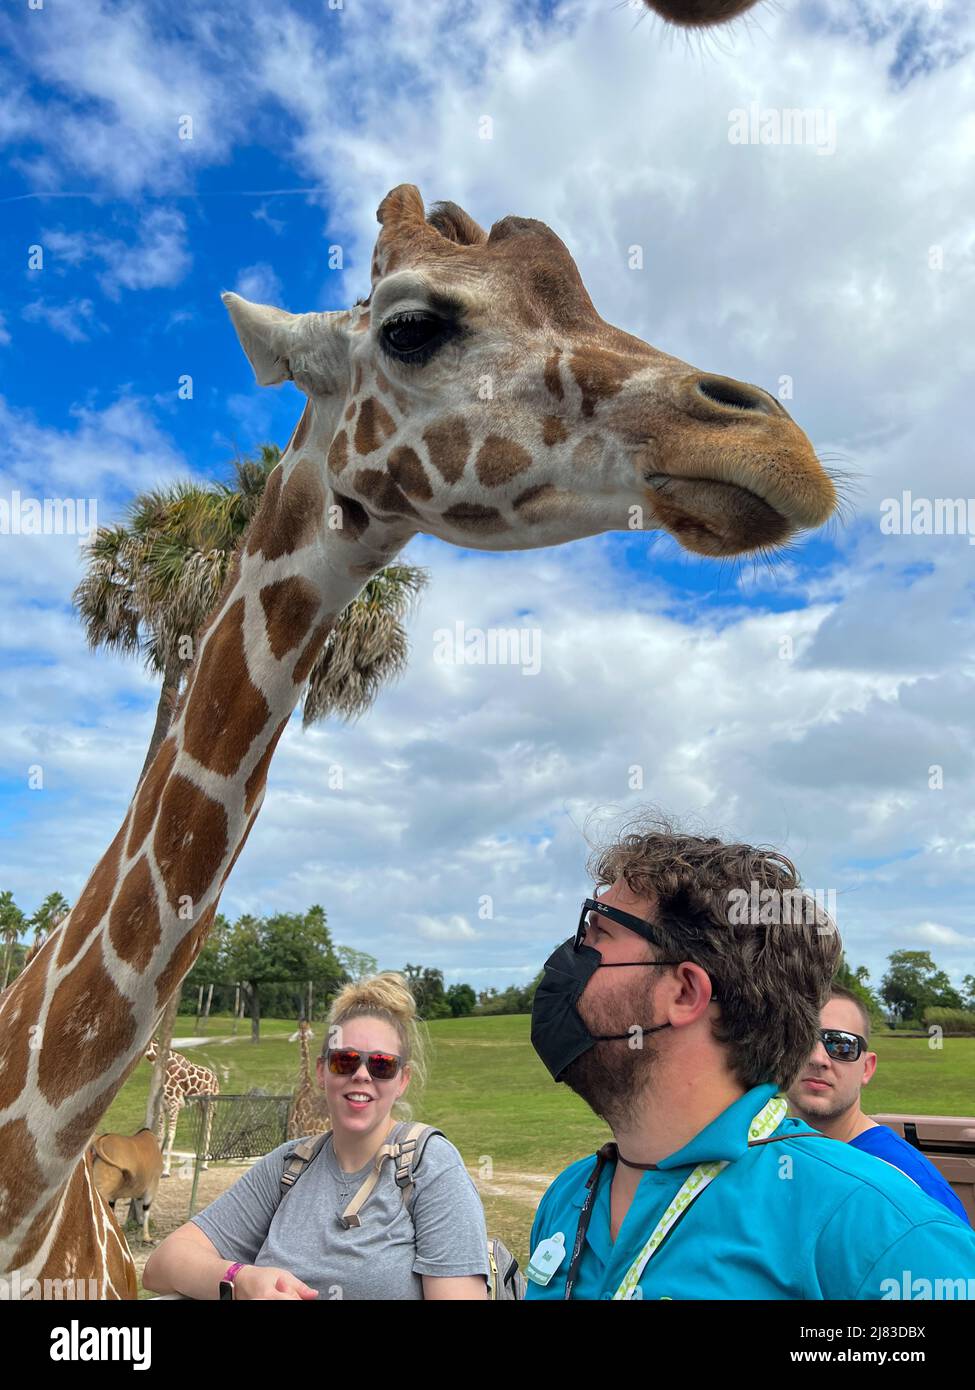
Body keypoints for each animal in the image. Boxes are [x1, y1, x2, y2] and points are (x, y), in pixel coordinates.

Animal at [143, 1042, 220, 1178]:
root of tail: (215, 1078)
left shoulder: (174, 1104)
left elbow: (170, 1135)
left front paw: (166, 1171)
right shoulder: (162, 1106)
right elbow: (160, 1135)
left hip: (210, 1104)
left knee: (208, 1129)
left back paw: (204, 1165)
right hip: (200, 1105)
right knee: (204, 1128)